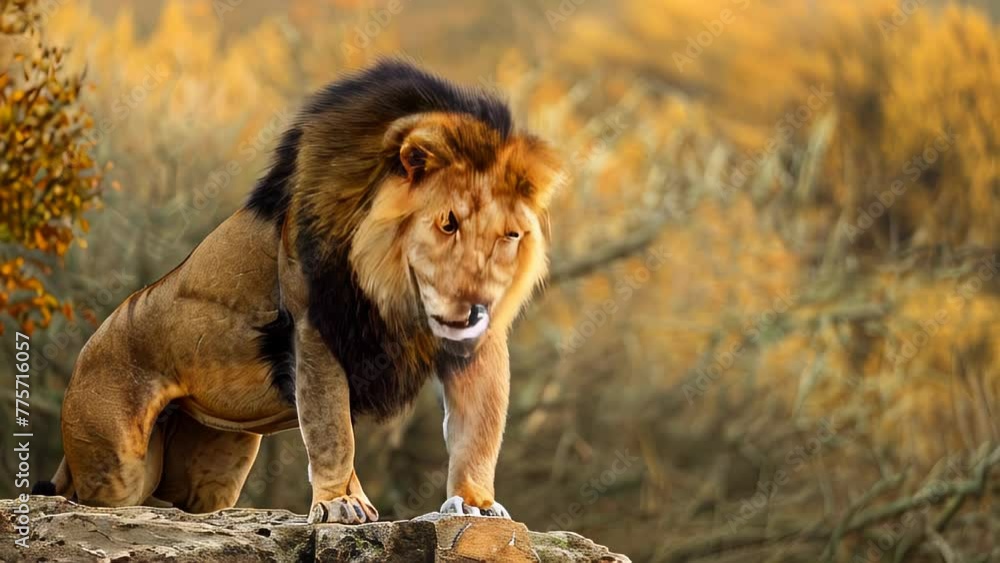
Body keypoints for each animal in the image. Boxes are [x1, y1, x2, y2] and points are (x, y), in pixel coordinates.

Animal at [33, 60, 564, 523]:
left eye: (511, 235)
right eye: (448, 222)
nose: (474, 307)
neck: (396, 291)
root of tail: (87, 353)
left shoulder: (478, 344)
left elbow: (479, 430)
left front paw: (474, 505)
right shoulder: (315, 328)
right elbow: (333, 429)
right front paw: (339, 504)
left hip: (212, 472)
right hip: (118, 466)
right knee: (88, 494)